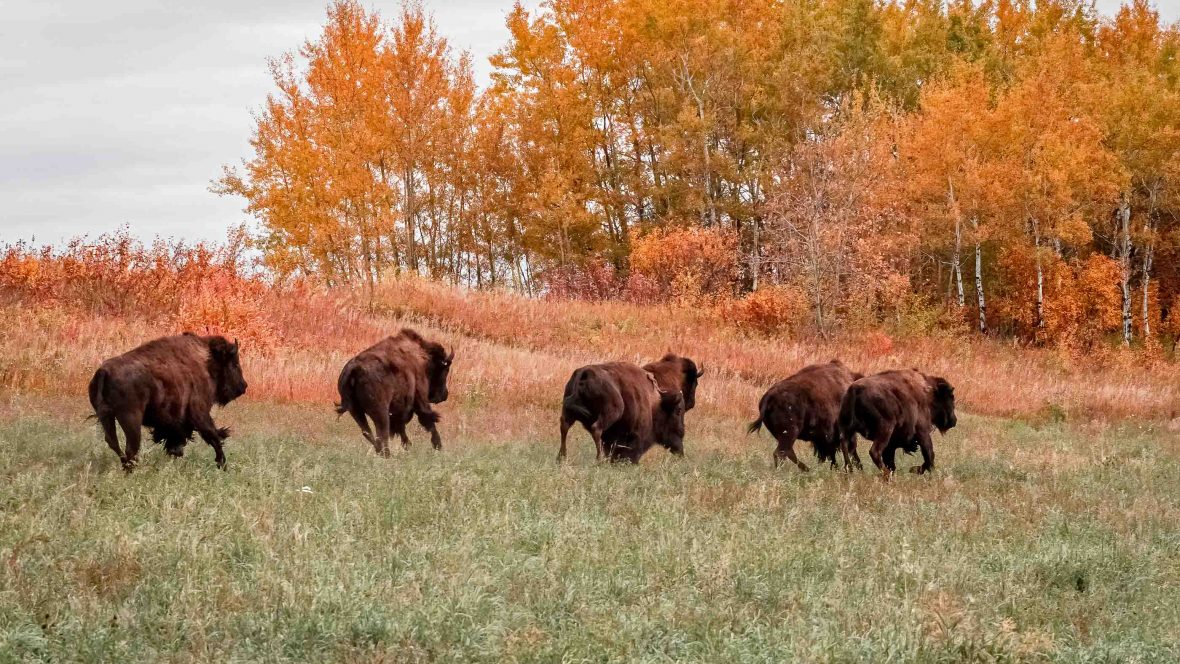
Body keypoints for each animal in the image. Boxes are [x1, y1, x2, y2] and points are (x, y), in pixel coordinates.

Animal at [88, 333, 248, 471]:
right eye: (234, 364)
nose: (243, 386)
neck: (207, 362)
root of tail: (104, 371)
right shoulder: (199, 413)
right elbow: (214, 437)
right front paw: (222, 465)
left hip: (107, 417)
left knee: (113, 442)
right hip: (130, 418)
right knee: (130, 447)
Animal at [558, 362, 686, 464]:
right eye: (678, 411)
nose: (681, 432)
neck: (655, 402)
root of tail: (585, 372)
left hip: (568, 410)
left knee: (564, 426)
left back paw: (561, 457)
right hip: (613, 412)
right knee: (596, 429)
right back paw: (599, 460)